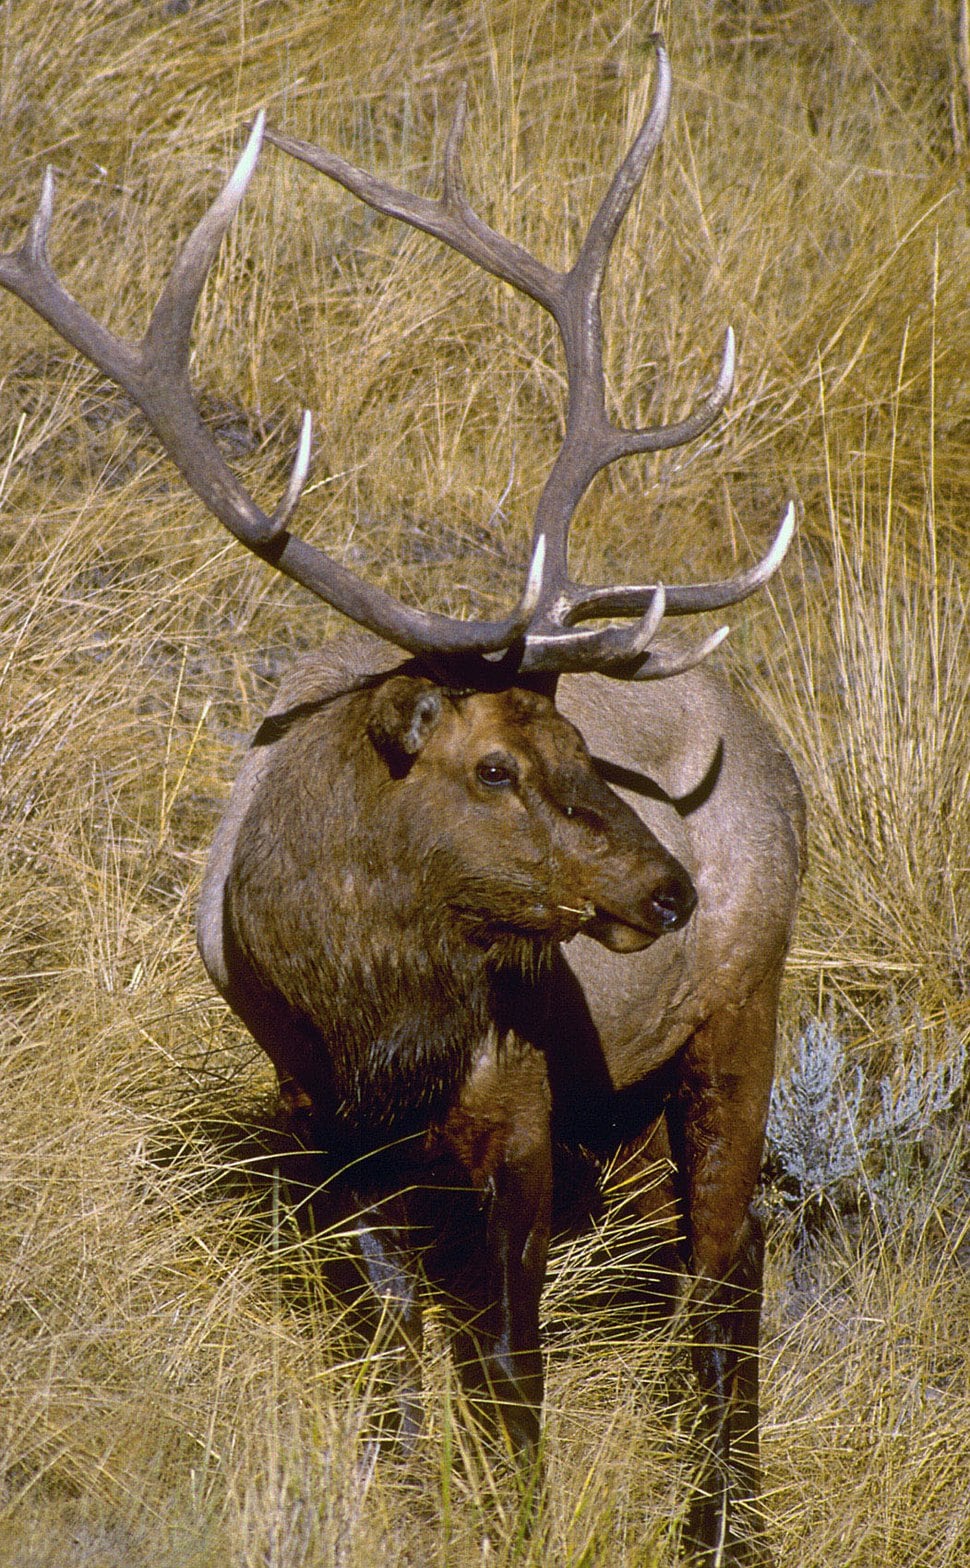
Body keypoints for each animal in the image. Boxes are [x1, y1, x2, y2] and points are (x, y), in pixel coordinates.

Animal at [0, 36, 804, 1565]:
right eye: (493, 764)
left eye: (572, 738)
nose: (663, 886)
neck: (366, 1005)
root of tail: (767, 745)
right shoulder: (314, 1109)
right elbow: (385, 1343)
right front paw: (414, 1504)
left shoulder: (523, 1089)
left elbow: (508, 1358)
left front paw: (523, 1518)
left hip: (745, 998)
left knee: (728, 1269)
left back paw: (722, 1523)